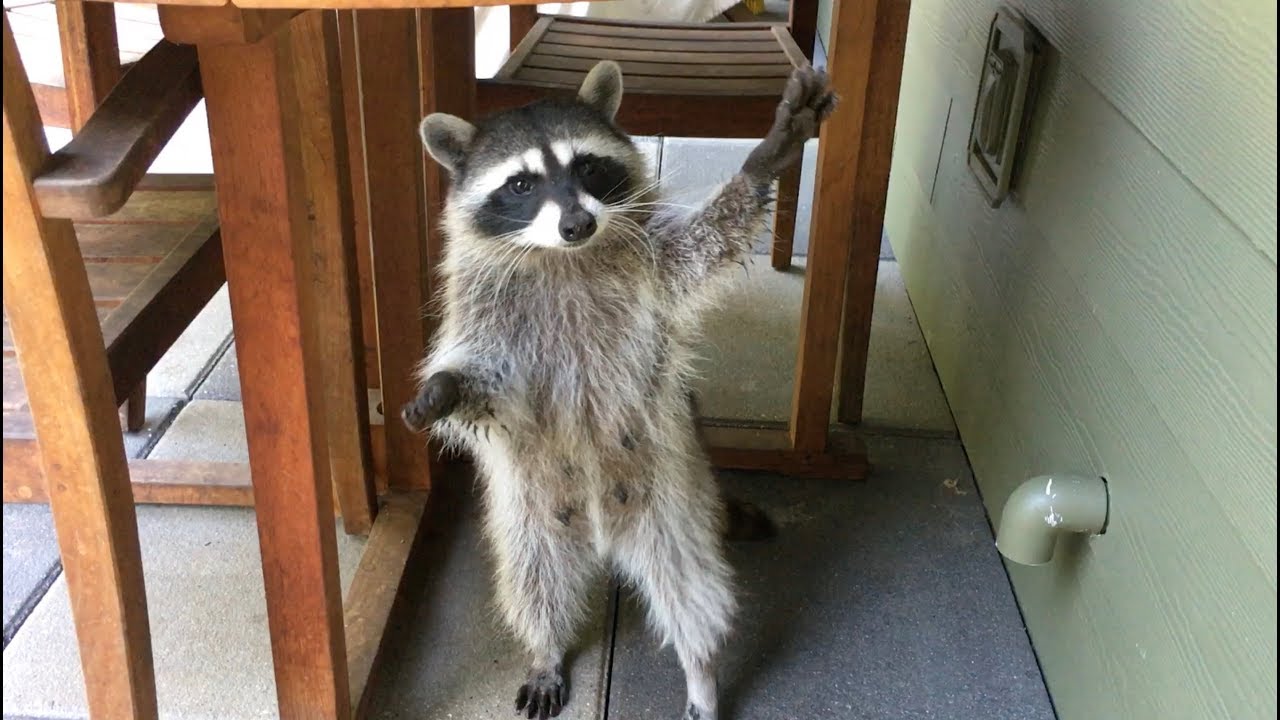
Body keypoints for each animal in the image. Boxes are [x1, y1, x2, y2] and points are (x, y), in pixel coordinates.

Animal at [403, 61, 835, 720]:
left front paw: (764, 161)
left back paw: (701, 673)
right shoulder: (483, 307)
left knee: (691, 590)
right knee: (534, 580)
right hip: (530, 511)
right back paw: (547, 648)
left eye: (586, 167)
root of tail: (602, 538)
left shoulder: (653, 261)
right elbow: (493, 382)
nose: (577, 223)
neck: (562, 256)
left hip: (671, 502)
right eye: (521, 184)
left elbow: (703, 246)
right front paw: (447, 388)